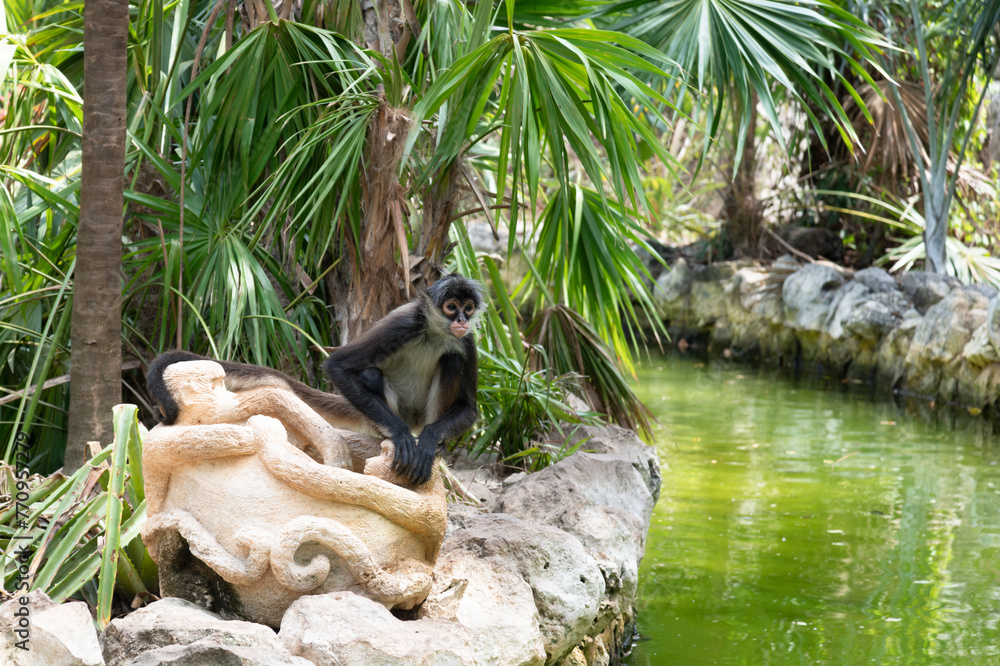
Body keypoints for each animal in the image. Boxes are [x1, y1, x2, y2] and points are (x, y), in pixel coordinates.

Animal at [322, 274, 484, 487]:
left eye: (468, 307)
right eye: (451, 307)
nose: (462, 319)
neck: (435, 333)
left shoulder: (467, 338)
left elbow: (468, 407)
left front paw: (430, 438)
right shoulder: (404, 323)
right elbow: (337, 366)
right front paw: (400, 434)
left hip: (423, 415)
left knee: (452, 360)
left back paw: (436, 446)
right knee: (370, 375)